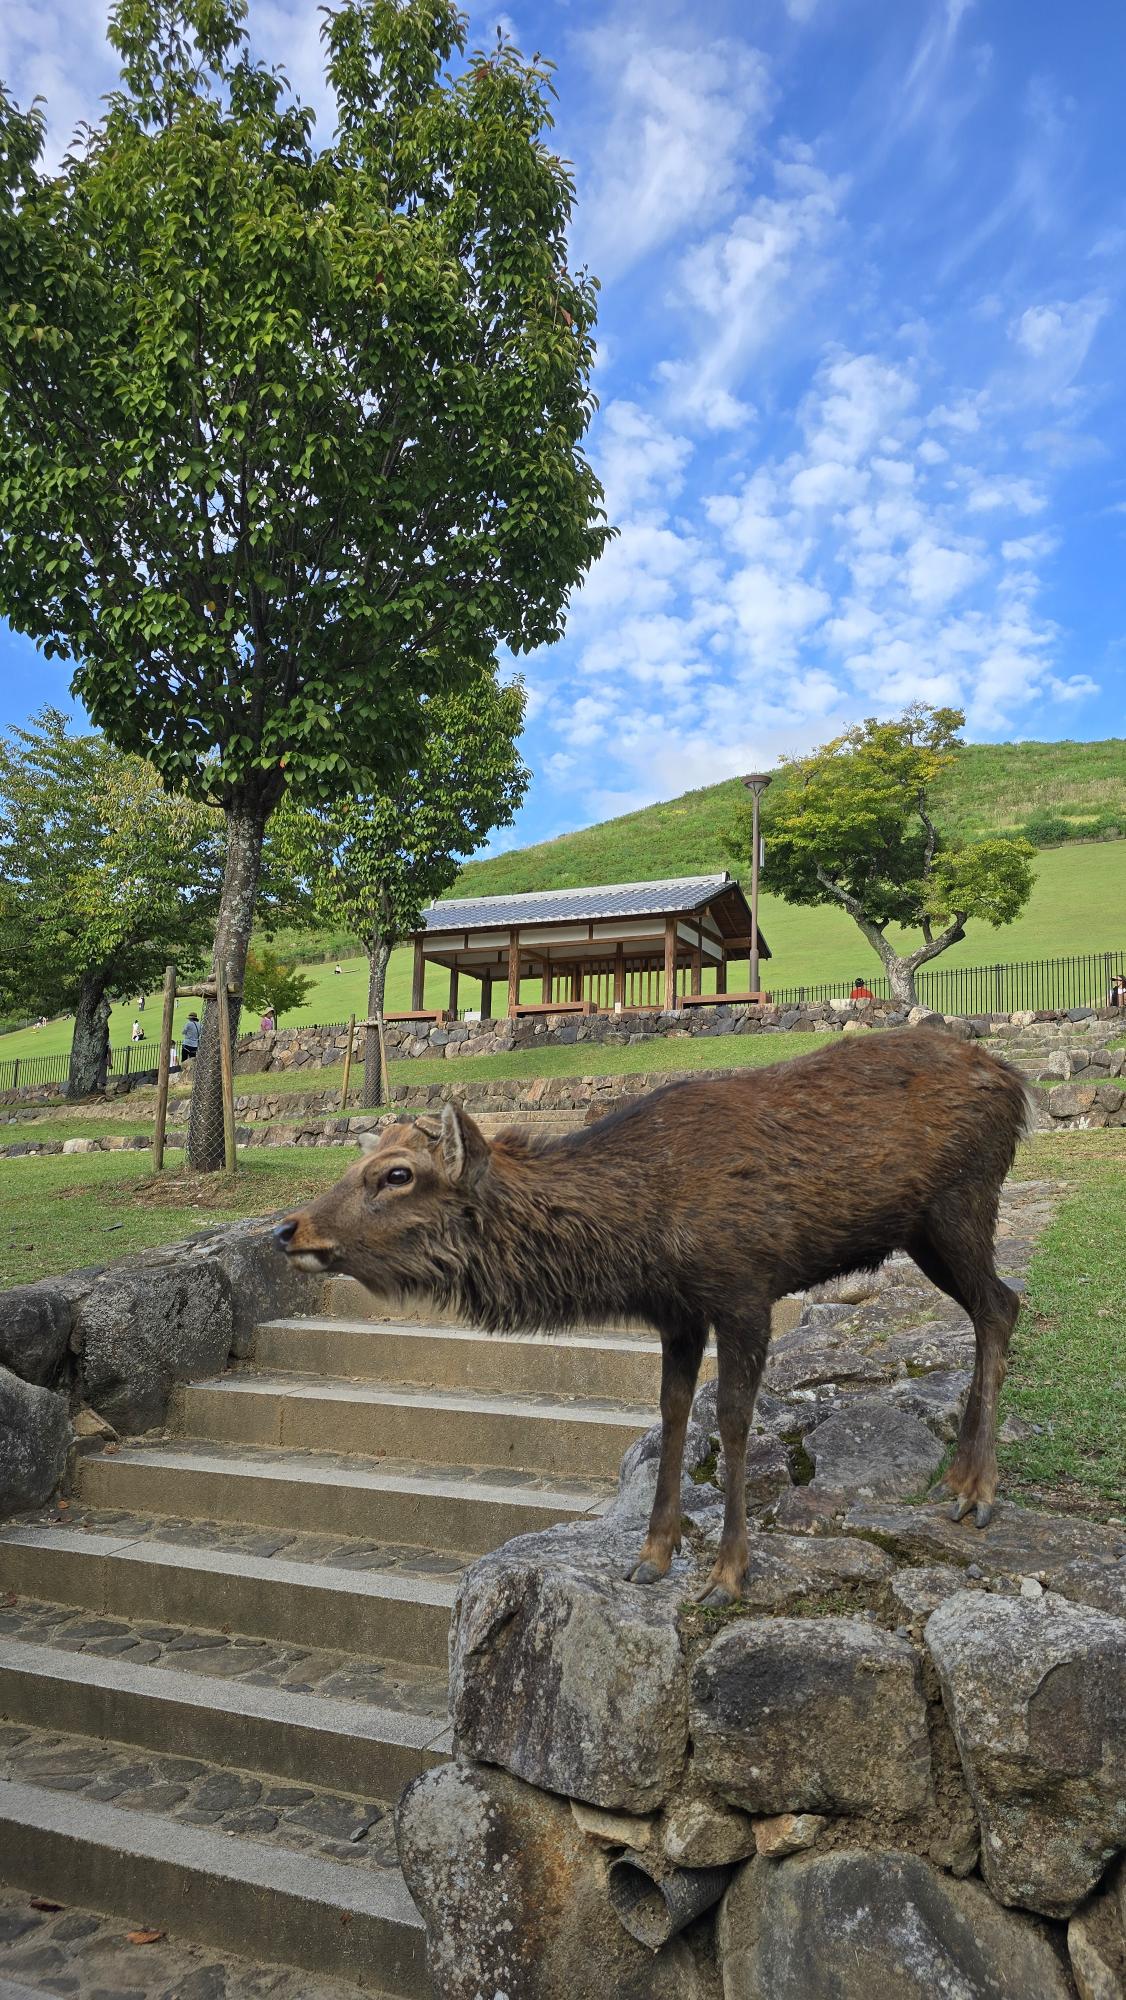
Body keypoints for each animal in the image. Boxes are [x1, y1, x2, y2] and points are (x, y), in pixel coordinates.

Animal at [270, 1032, 1032, 1608]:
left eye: (396, 1174)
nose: (289, 1228)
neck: (641, 1234)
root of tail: (1015, 1081)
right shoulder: (678, 1312)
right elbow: (671, 1412)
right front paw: (652, 1554)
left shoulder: (744, 1290)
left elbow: (731, 1418)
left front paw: (728, 1573)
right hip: (925, 1232)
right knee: (995, 1307)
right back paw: (957, 1481)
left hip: (961, 1202)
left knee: (1001, 1304)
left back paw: (981, 1492)